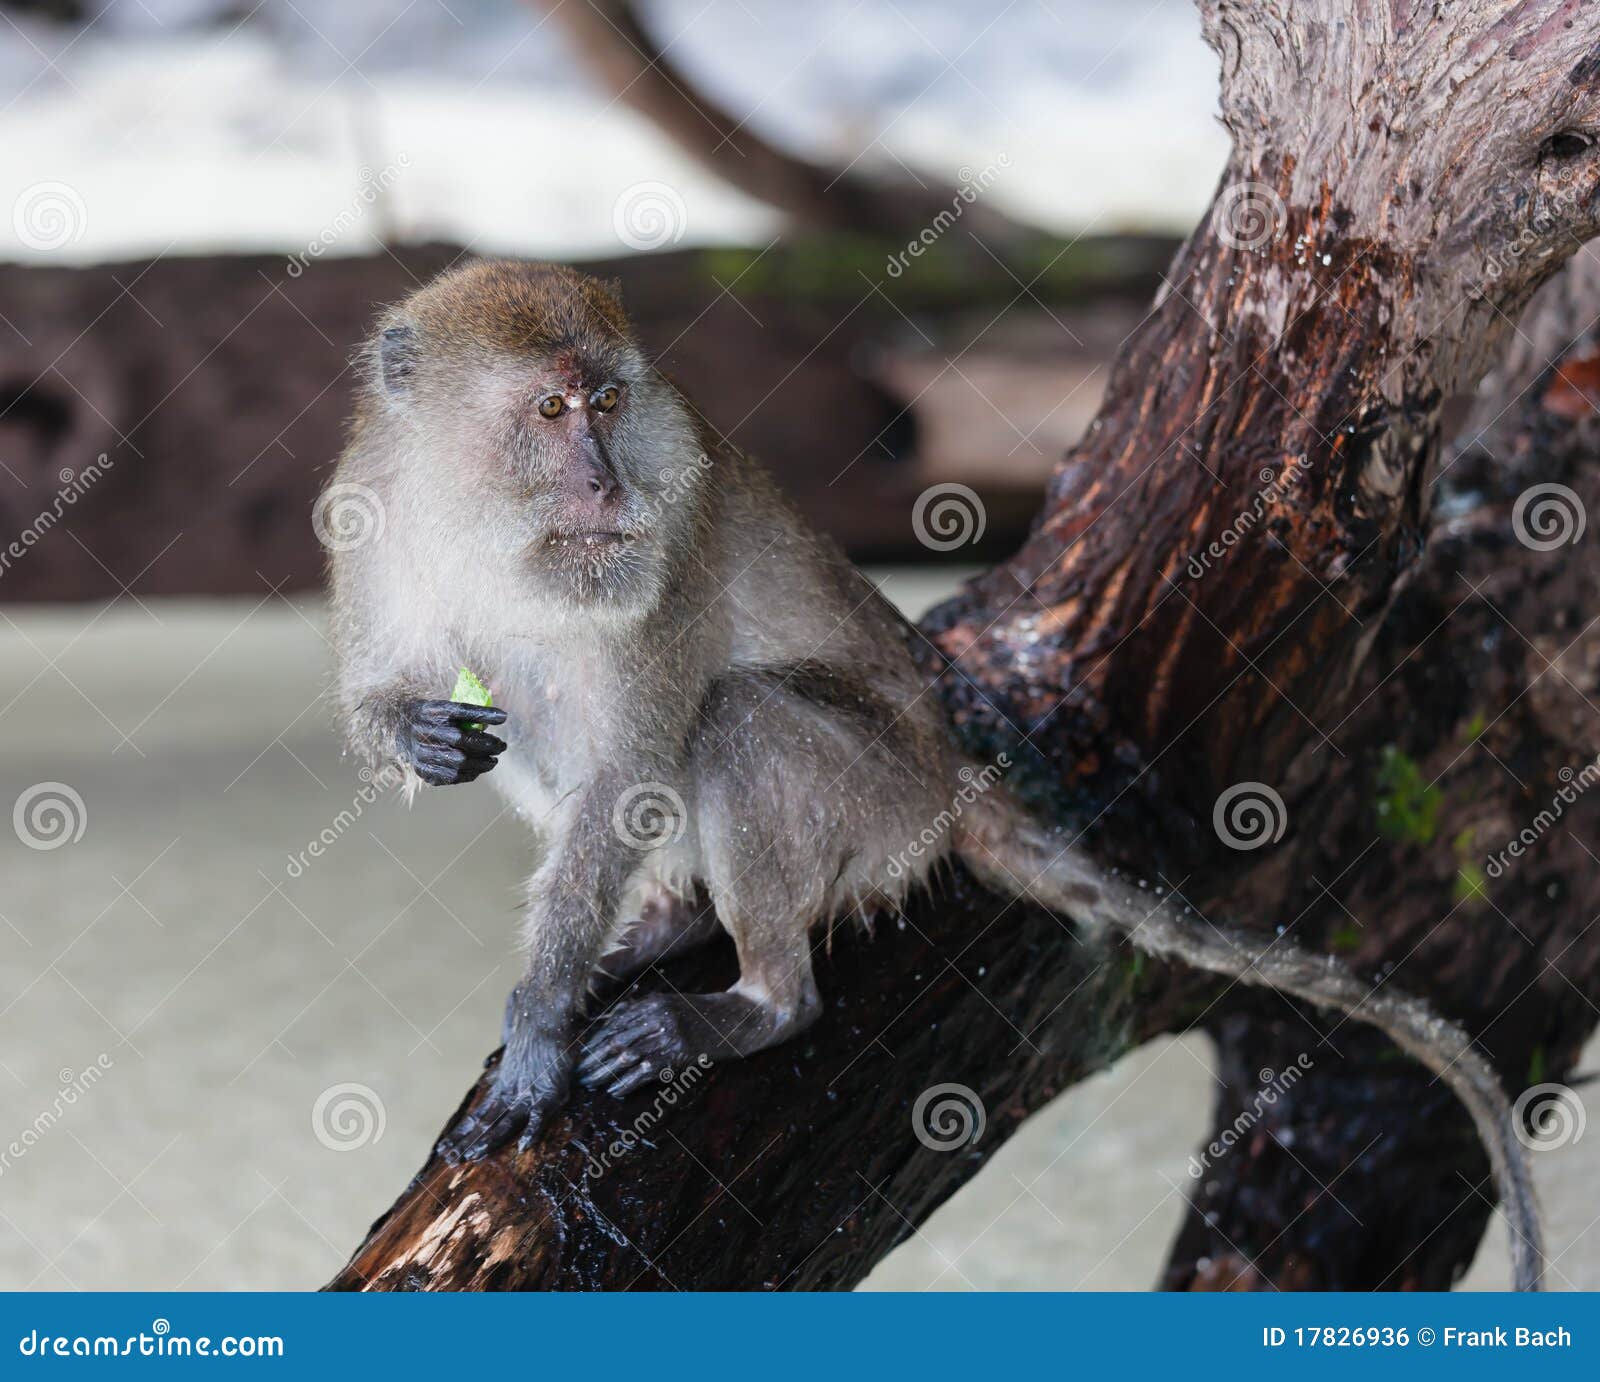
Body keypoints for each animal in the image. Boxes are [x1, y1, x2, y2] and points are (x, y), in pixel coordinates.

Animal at [324, 260, 1543, 1290]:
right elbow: (408, 685)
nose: (601, 480)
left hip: (881, 805)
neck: (484, 519)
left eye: (610, 404)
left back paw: (760, 1001)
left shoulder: (657, 540)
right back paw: (670, 916)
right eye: (549, 412)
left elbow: (633, 766)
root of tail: (952, 771)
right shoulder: (371, 510)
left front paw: (540, 1029)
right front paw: (414, 736)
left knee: (736, 722)